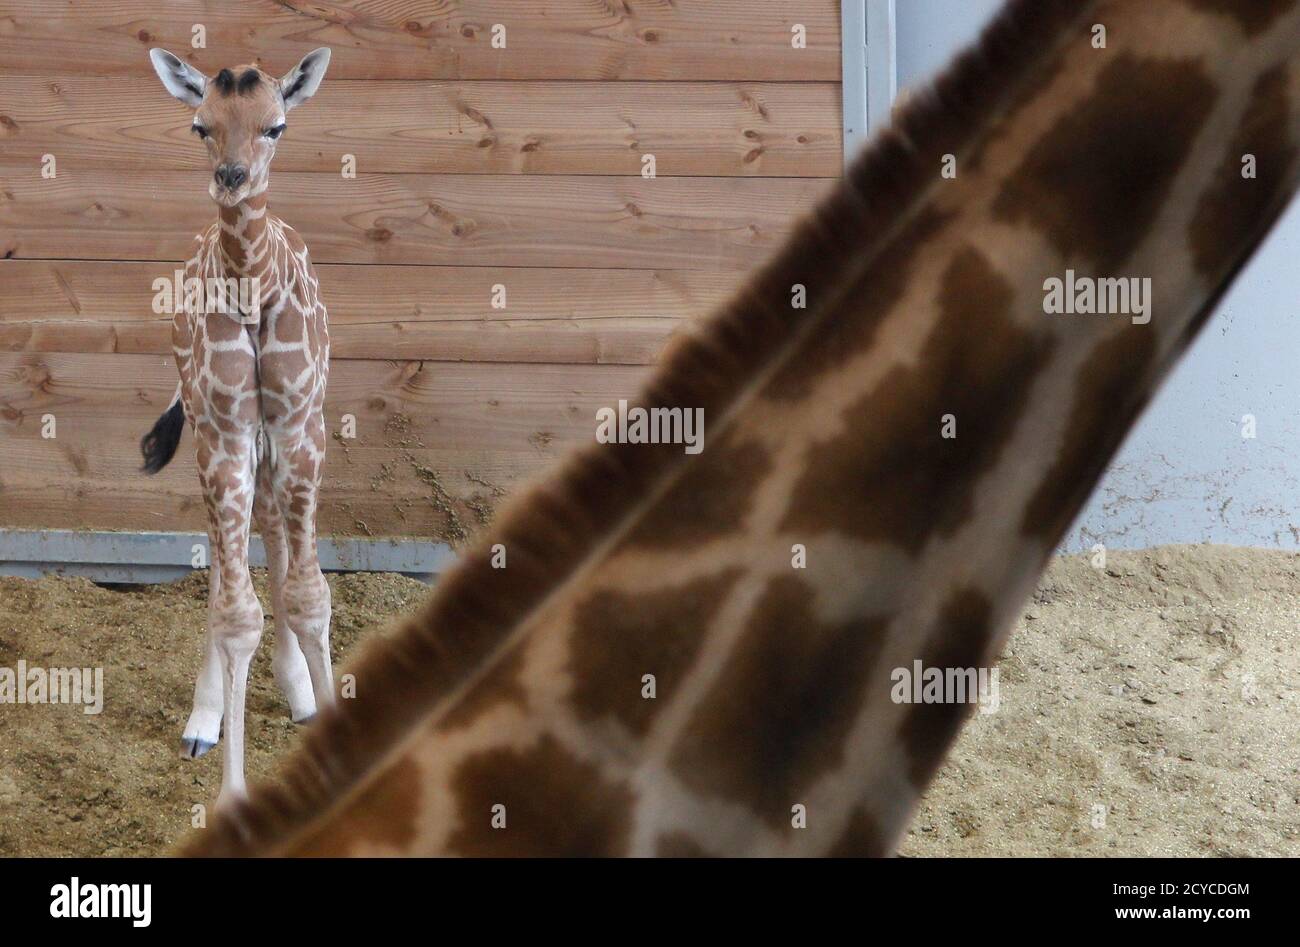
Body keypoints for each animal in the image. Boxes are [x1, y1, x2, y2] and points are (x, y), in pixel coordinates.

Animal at [139, 47, 336, 809]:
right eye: (201, 125)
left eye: (276, 125)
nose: (231, 176)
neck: (254, 284)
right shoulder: (222, 441)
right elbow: (234, 610)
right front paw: (229, 792)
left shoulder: (302, 431)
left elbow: (309, 594)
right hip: (213, 435)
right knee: (230, 564)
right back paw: (205, 717)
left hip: (274, 444)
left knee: (274, 537)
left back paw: (300, 690)